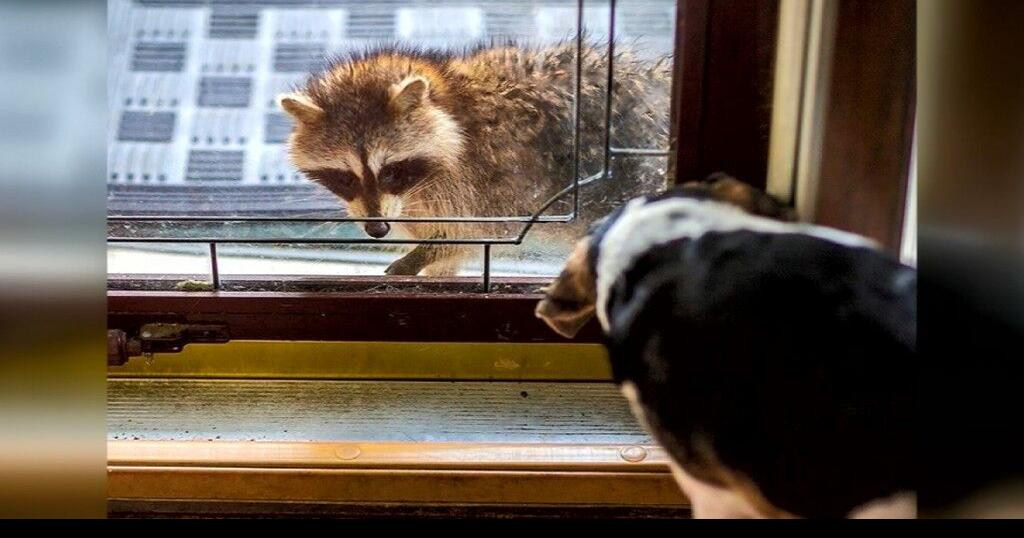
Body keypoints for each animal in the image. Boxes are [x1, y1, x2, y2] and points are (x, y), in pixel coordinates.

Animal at [280, 41, 671, 276]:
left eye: (391, 171)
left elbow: (471, 232)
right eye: (346, 177)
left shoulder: (484, 179)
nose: (378, 231)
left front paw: (426, 255)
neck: (448, 98)